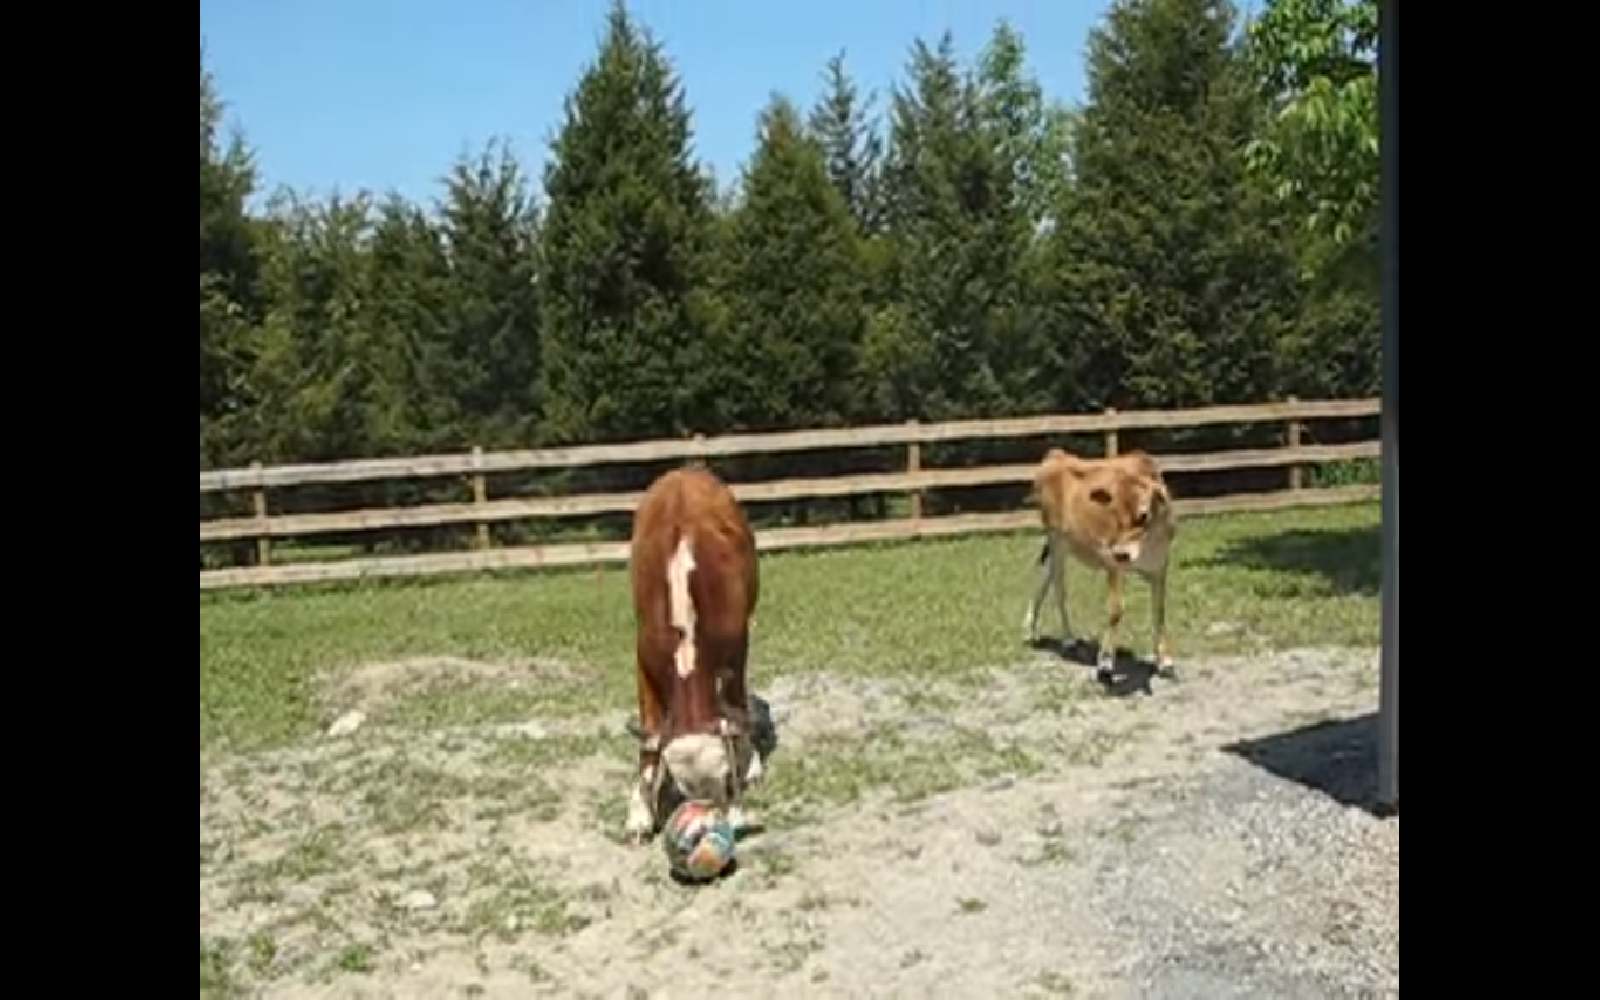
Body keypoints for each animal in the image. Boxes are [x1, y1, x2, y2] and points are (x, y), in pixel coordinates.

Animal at [624, 465, 764, 846]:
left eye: (727, 784)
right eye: (687, 791)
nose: (714, 824)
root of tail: (686, 470)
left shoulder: (737, 649)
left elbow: (736, 711)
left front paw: (748, 766)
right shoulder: (644, 656)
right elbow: (651, 736)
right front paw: (640, 813)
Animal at [1024, 448, 1178, 680]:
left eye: (1143, 515)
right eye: (1114, 513)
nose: (1121, 553)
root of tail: (1057, 455)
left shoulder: (1160, 567)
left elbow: (1159, 611)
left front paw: (1165, 661)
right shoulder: (1113, 564)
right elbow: (1116, 610)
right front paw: (1105, 662)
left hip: (1058, 545)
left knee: (1043, 576)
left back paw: (1031, 630)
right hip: (1057, 540)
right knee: (1058, 589)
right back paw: (1068, 639)